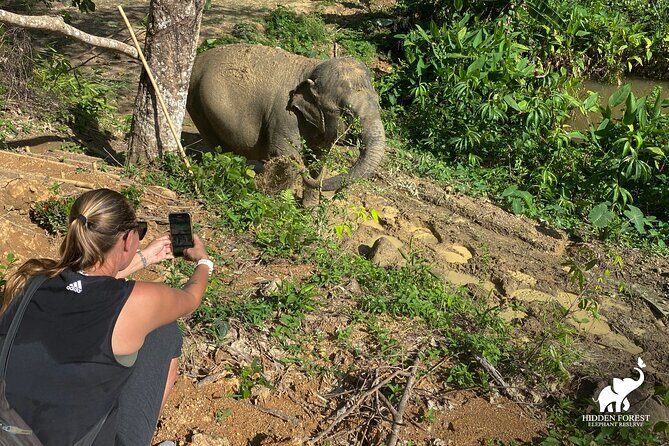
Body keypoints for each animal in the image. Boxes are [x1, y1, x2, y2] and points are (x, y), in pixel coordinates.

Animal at [186, 43, 386, 192]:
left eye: (378, 102)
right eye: (347, 113)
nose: (303, 169)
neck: (310, 68)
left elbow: (318, 158)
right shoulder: (284, 116)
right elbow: (284, 155)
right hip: (197, 103)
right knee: (217, 146)